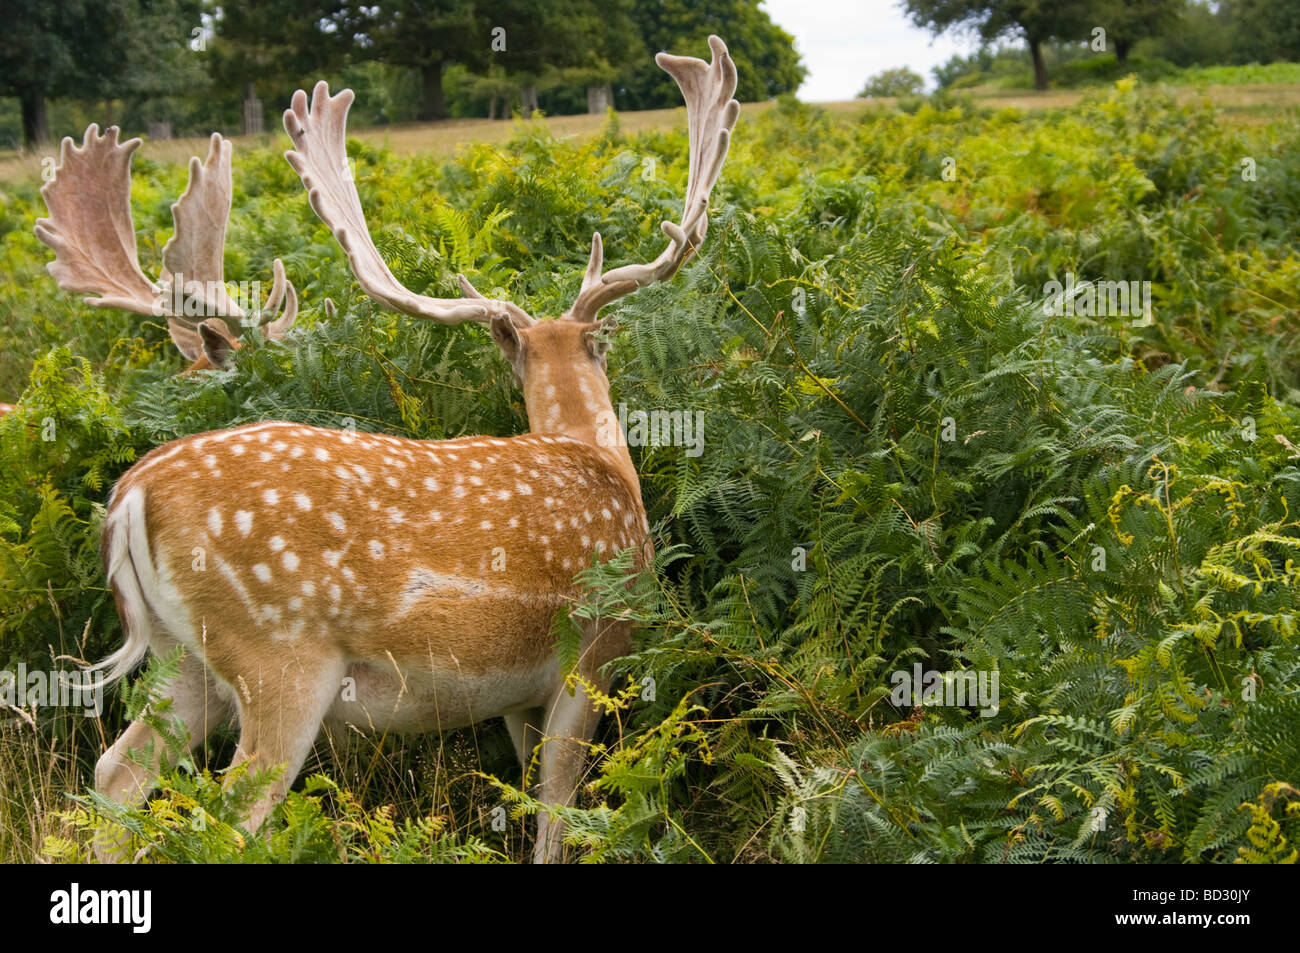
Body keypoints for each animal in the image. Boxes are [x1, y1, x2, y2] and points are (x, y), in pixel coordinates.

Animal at [86, 35, 738, 863]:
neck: (603, 463)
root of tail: (130, 497)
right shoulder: (593, 651)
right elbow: (559, 808)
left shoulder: (517, 696)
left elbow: (531, 789)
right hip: (279, 655)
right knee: (224, 819)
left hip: (181, 659)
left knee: (116, 773)